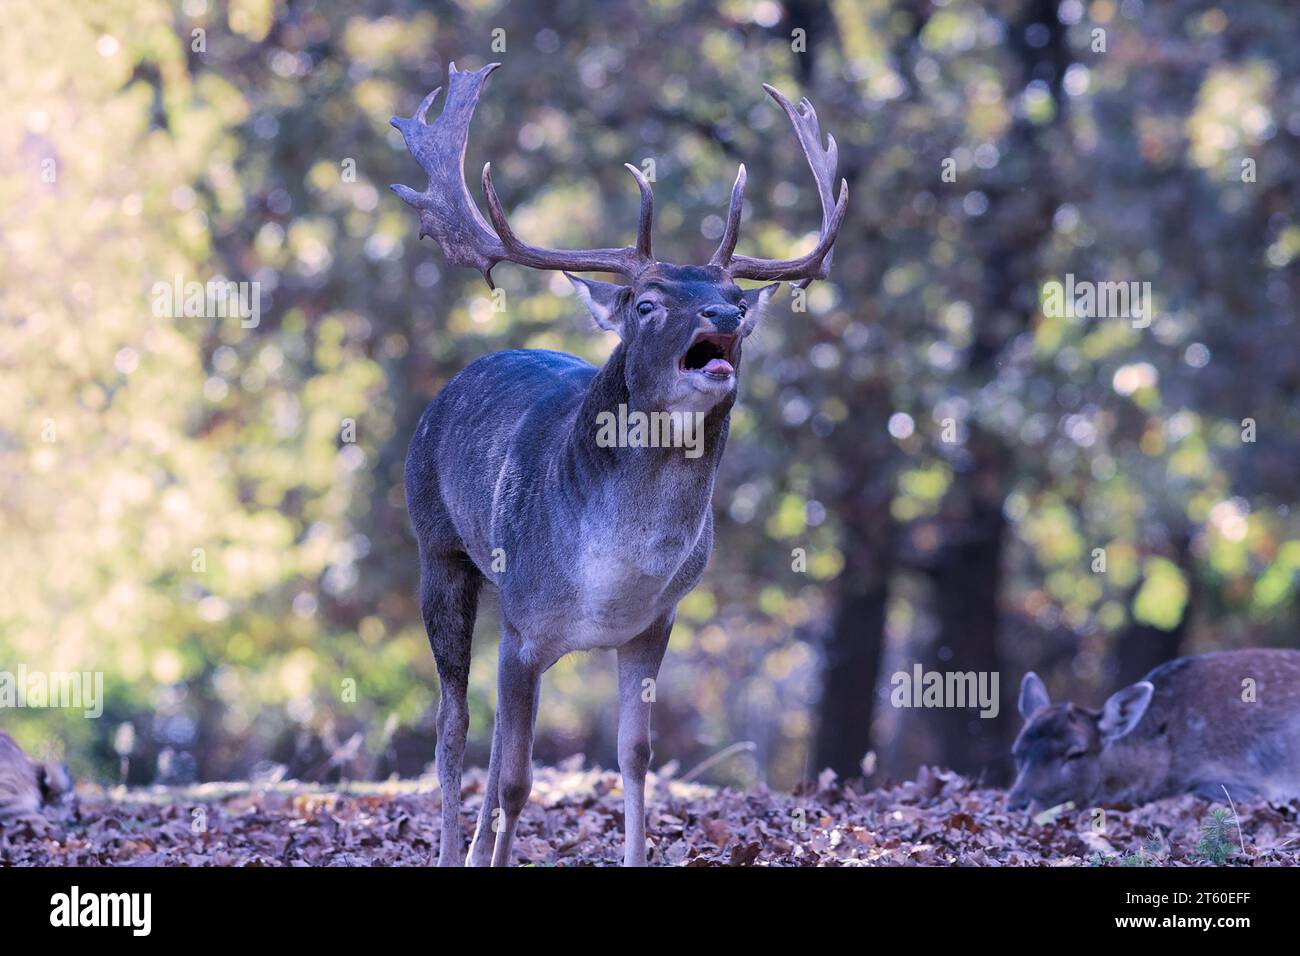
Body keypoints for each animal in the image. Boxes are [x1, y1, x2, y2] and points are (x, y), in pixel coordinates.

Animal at [390, 62, 846, 866]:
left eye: (734, 295)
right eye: (646, 302)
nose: (726, 318)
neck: (613, 573)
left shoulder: (651, 625)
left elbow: (635, 759)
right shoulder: (528, 624)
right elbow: (517, 781)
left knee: (492, 730)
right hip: (439, 549)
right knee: (454, 724)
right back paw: (452, 849)